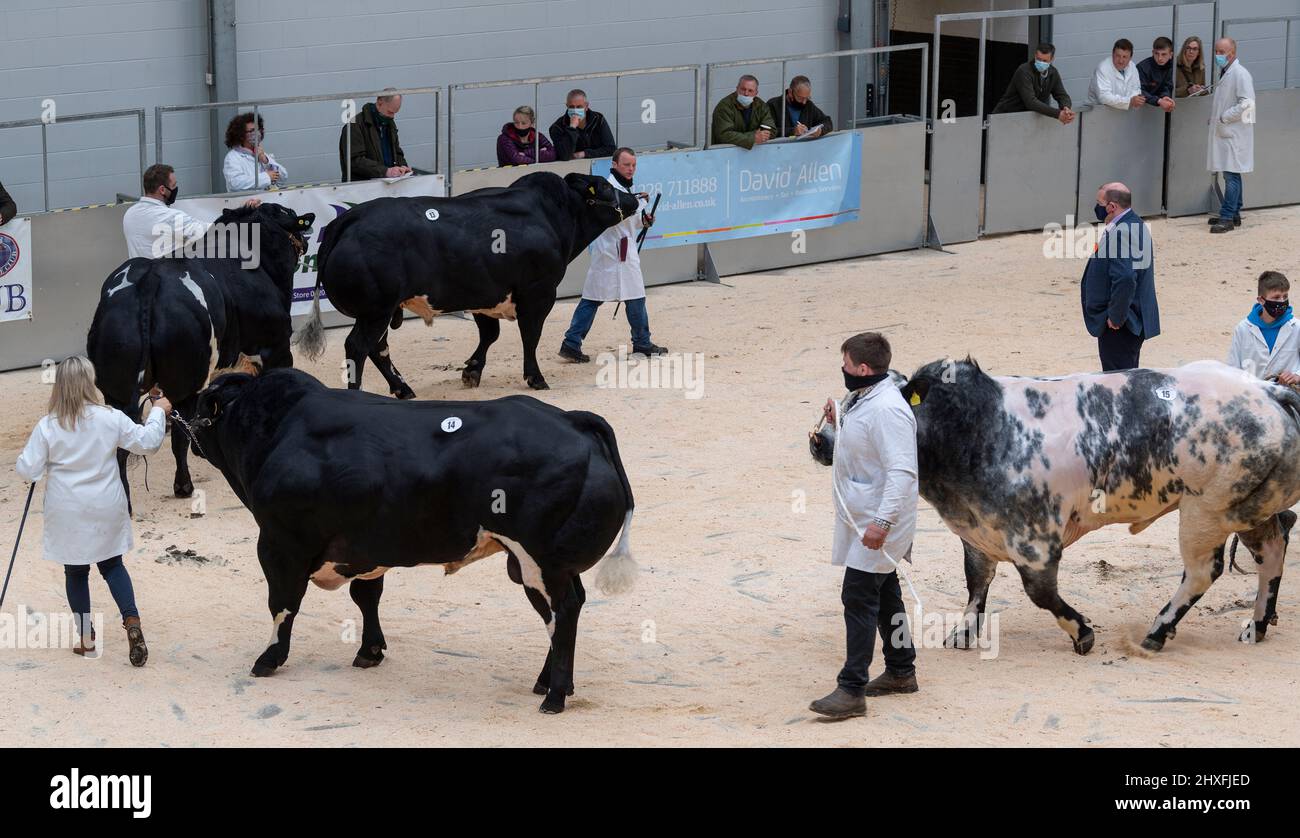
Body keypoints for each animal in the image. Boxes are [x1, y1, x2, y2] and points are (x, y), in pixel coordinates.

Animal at [87, 202, 314, 499]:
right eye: (290, 214)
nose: (306, 240)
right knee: (179, 436)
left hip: (116, 389)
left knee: (120, 446)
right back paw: (183, 485)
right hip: (185, 383)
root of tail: (149, 278)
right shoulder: (275, 348)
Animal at [183, 366, 637, 714]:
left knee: (562, 612)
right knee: (568, 610)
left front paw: (269, 659)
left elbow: (282, 605)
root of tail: (572, 418)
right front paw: (369, 651)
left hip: (540, 564)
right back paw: (550, 683)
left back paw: (554, 695)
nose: (183, 420)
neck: (277, 429)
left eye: (205, 403)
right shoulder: (366, 548)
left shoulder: (280, 544)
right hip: (549, 564)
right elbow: (367, 597)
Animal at [291, 171, 641, 396]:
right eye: (605, 188)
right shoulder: (538, 293)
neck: (552, 214)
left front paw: (472, 370)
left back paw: (403, 389)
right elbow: (530, 336)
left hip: (379, 311)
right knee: (359, 347)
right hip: (376, 310)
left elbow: (490, 335)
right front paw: (535, 377)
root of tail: (349, 219)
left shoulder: (484, 294)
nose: (634, 199)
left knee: (378, 348)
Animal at [895, 358, 1300, 654]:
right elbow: (977, 584)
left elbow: (1040, 593)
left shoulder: (1035, 541)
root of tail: (1268, 390)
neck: (982, 427)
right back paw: (1257, 624)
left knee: (1202, 571)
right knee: (1271, 550)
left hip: (1206, 512)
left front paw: (1082, 634)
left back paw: (1157, 631)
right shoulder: (977, 534)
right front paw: (963, 633)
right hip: (1246, 509)